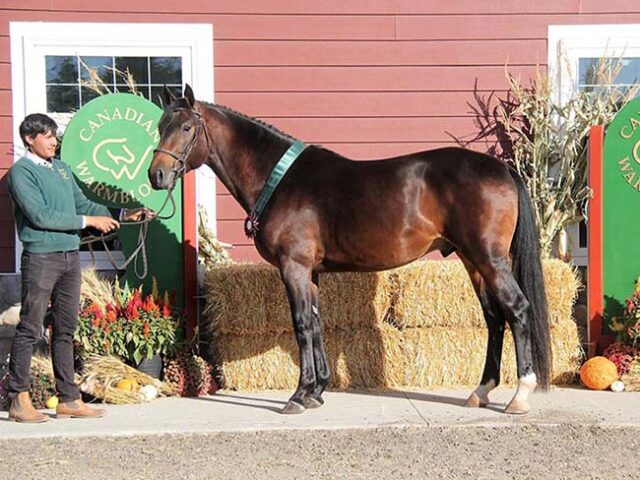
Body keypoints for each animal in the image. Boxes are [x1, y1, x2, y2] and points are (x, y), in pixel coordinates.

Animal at [149, 85, 551, 415]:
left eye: (186, 128)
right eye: (160, 126)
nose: (157, 175)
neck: (278, 179)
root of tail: (501, 169)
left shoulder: (293, 266)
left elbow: (301, 325)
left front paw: (299, 396)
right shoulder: (310, 272)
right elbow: (315, 323)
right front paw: (316, 391)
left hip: (489, 259)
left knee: (516, 309)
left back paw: (520, 395)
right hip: (472, 260)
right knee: (494, 317)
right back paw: (480, 391)